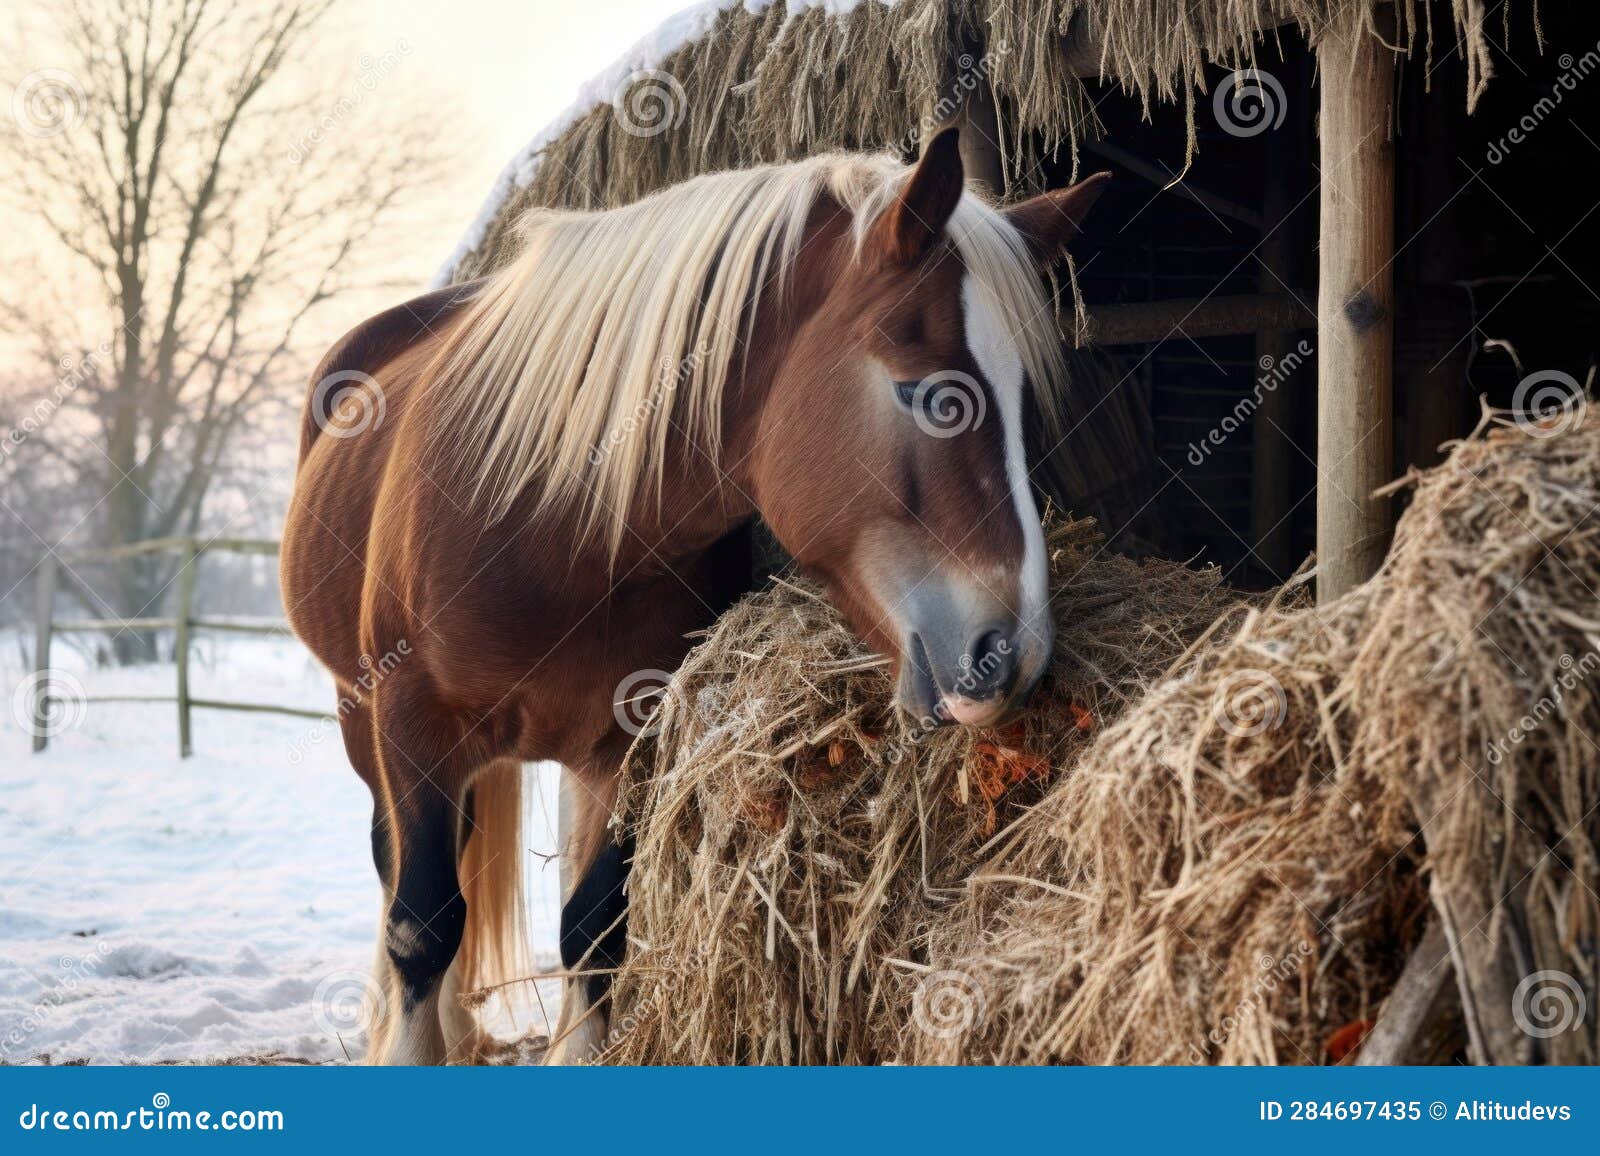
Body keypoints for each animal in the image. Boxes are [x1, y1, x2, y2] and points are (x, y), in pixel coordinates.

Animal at [280, 127, 1108, 1064]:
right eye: (932, 395)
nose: (1014, 650)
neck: (555, 525)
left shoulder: (627, 739)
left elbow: (592, 928)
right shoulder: (413, 728)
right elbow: (421, 921)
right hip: (362, 721)